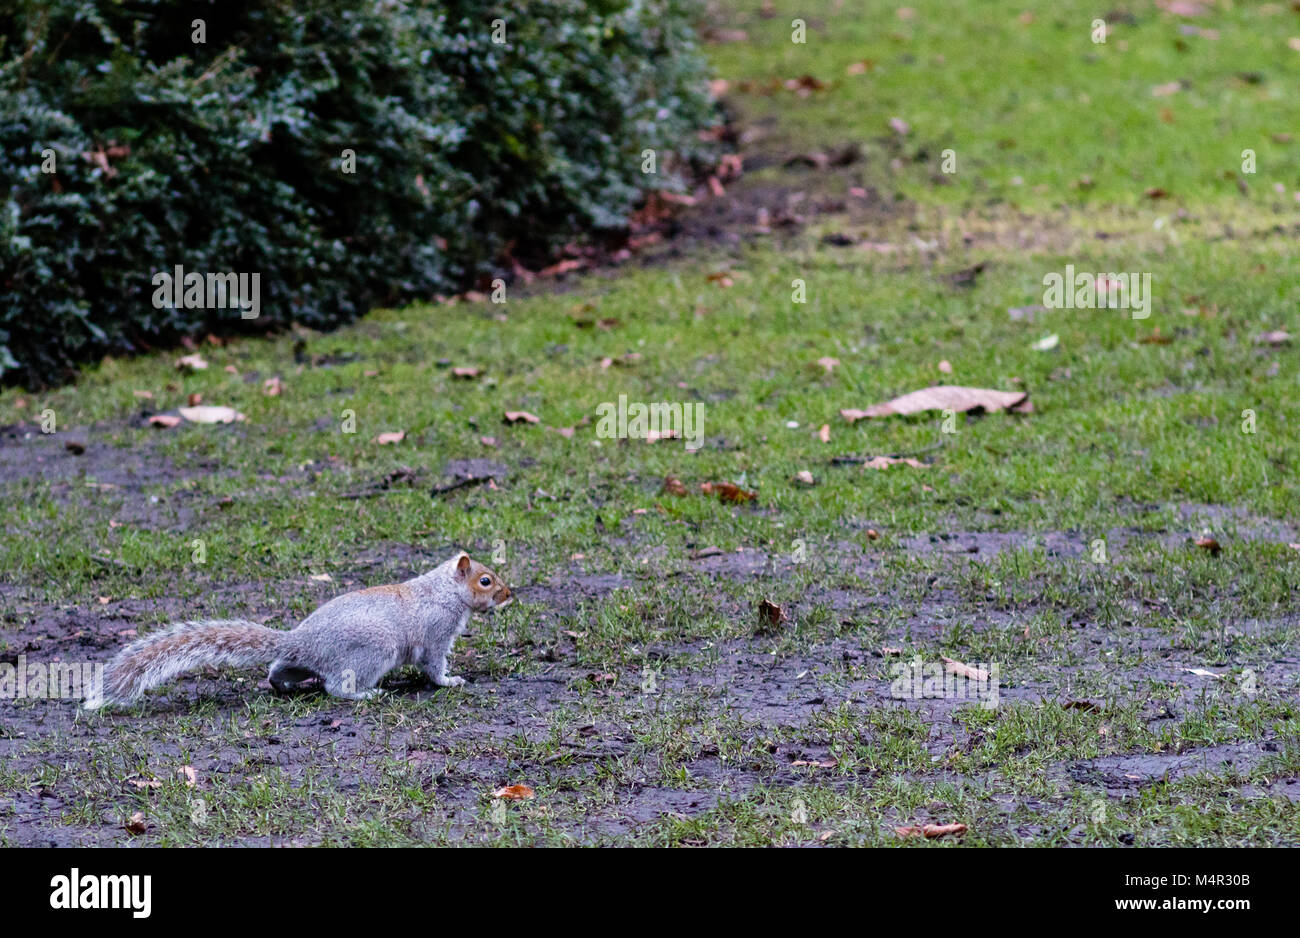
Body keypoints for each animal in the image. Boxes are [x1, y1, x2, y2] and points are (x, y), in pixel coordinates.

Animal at [84, 552, 511, 710]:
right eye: (485, 581)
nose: (510, 594)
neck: (444, 591)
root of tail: (301, 639)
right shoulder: (436, 633)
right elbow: (434, 665)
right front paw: (450, 681)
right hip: (374, 650)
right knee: (336, 686)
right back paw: (365, 693)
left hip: (298, 660)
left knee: (280, 671)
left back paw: (288, 684)